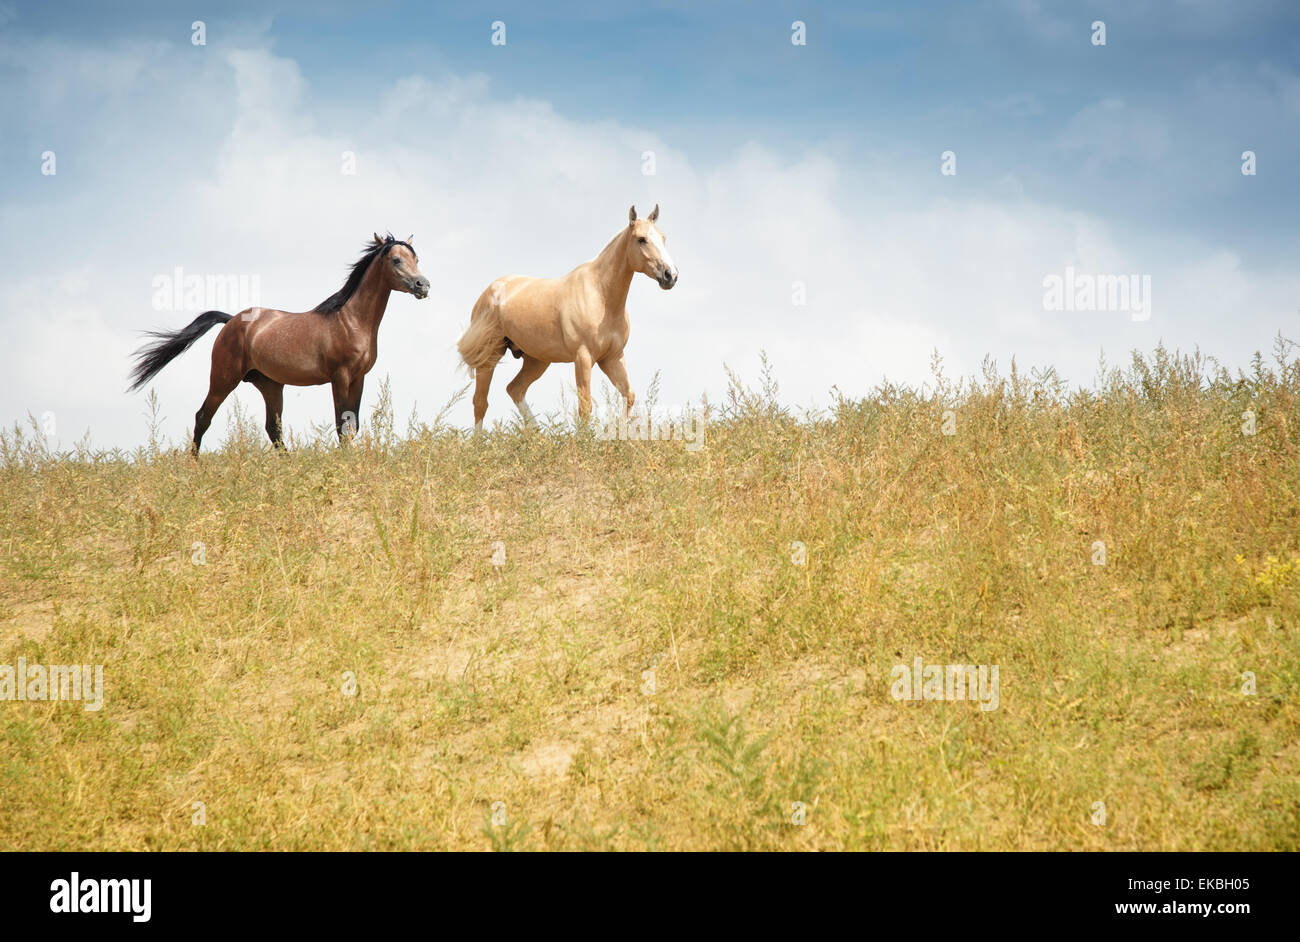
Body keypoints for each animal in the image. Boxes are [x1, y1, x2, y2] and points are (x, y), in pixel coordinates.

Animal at [129, 233, 430, 453]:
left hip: (270, 385)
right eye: (395, 260)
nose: (422, 285)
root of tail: (230, 321)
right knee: (203, 417)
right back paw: (195, 467)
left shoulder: (359, 378)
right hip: (223, 379)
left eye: (415, 258)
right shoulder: (340, 376)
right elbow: (341, 425)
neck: (350, 320)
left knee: (273, 429)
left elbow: (352, 426)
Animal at [456, 204, 678, 430]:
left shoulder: (612, 358)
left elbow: (628, 396)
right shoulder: (583, 358)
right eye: (641, 239)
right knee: (481, 402)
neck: (601, 296)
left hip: (537, 360)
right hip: (490, 355)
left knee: (515, 389)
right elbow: (585, 407)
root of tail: (491, 291)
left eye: (663, 238)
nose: (670, 275)